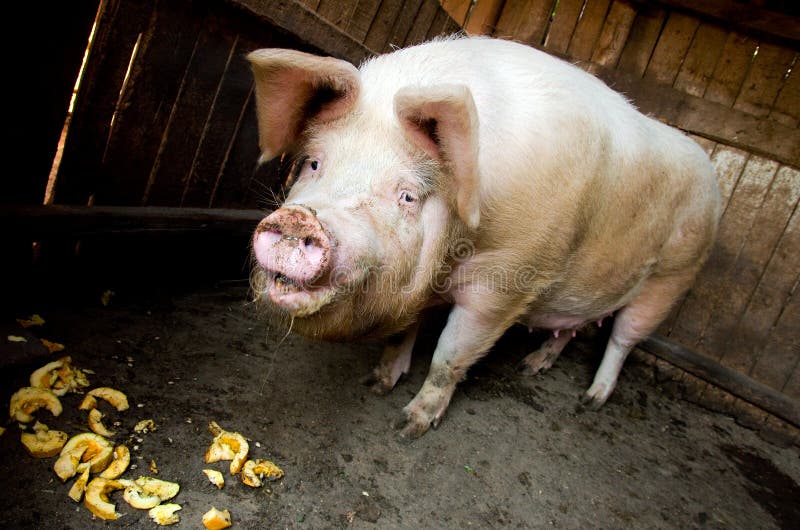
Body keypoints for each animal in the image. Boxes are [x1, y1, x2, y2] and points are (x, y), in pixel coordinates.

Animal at [247, 36, 720, 439]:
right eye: (313, 163)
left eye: (407, 195)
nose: (300, 220)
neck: (454, 251)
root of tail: (711, 171)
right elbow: (403, 333)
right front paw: (377, 383)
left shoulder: (506, 279)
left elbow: (448, 356)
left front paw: (407, 427)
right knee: (570, 328)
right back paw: (533, 366)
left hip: (673, 277)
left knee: (622, 339)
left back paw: (591, 401)